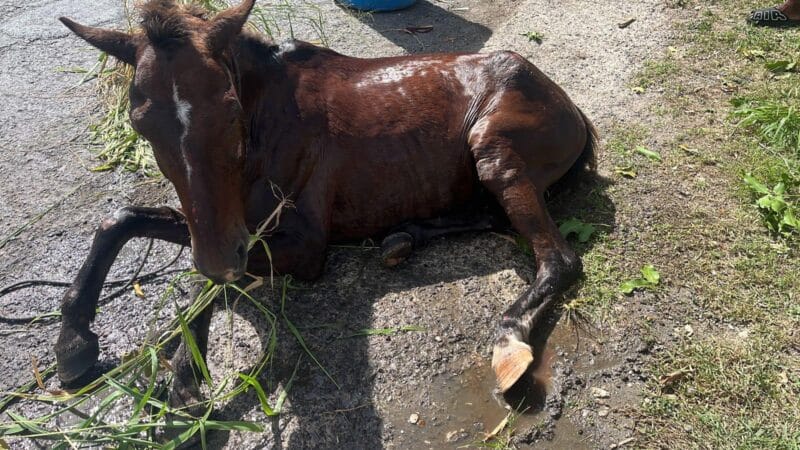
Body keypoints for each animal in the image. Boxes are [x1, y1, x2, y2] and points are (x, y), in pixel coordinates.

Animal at [56, 0, 596, 412]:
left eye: (230, 109)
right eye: (140, 123)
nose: (219, 256)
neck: (269, 124)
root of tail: (568, 103)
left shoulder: (302, 246)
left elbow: (204, 282)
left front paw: (186, 375)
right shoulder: (230, 229)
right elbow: (123, 220)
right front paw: (74, 342)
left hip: (495, 152)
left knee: (559, 258)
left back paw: (509, 343)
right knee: (489, 216)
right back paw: (402, 238)